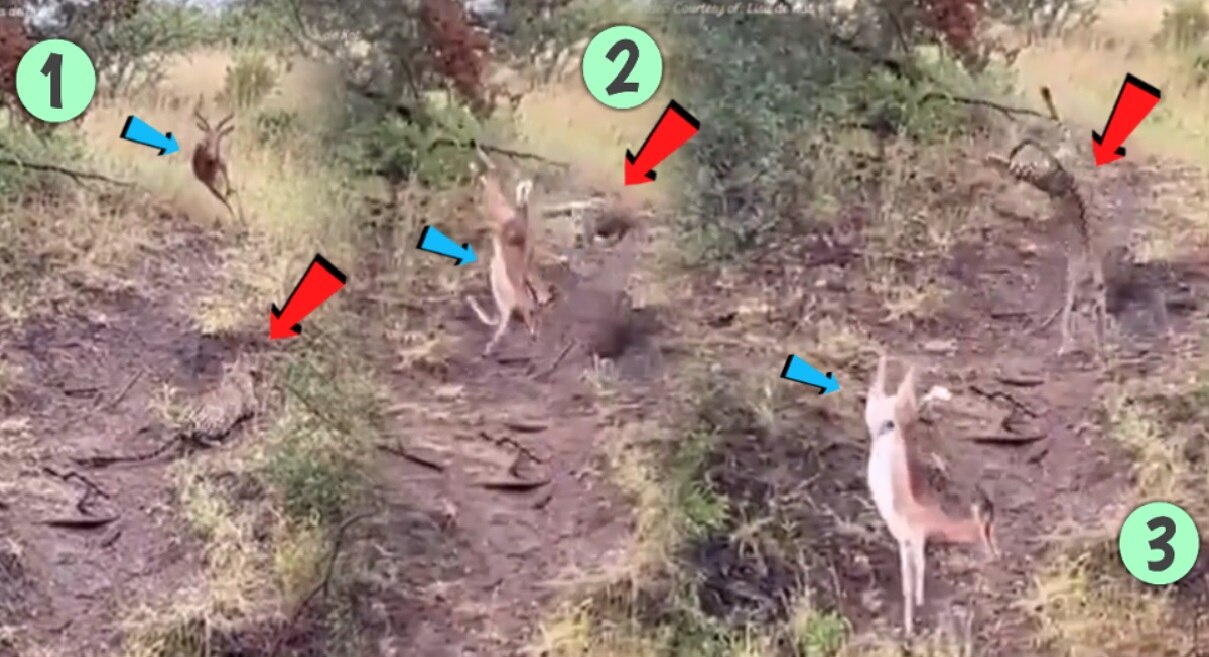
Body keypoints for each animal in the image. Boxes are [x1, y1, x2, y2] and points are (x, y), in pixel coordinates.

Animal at [864, 351, 998, 635]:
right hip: (893, 407)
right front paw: (911, 623)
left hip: (877, 413)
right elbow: (915, 581)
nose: (995, 553)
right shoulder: (915, 541)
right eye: (988, 528)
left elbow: (909, 581)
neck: (933, 518)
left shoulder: (905, 542)